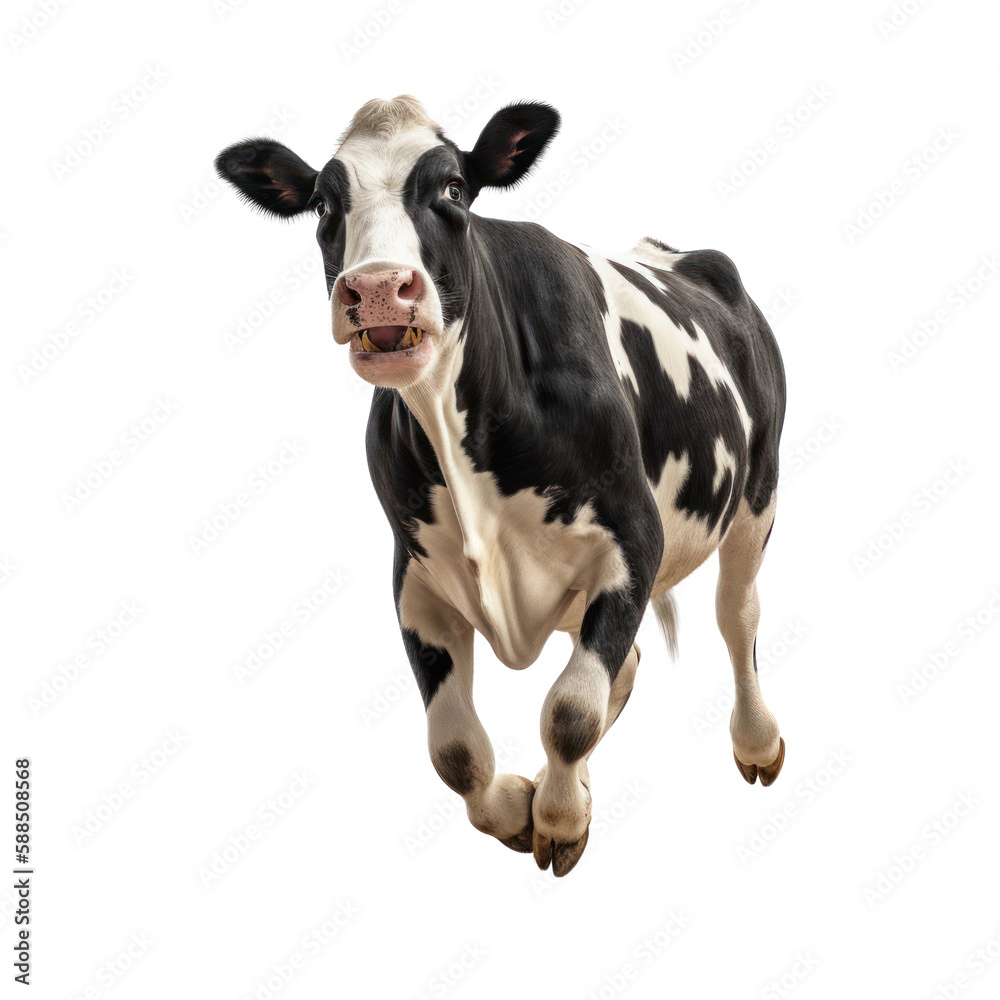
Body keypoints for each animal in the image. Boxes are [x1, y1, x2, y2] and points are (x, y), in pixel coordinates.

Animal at [216, 95, 787, 877]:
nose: (378, 288)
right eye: (323, 203)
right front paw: (524, 807)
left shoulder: (633, 539)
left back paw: (756, 742)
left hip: (759, 490)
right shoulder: (416, 574)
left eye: (454, 188)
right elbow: (454, 750)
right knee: (626, 662)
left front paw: (560, 818)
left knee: (737, 615)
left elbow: (570, 710)